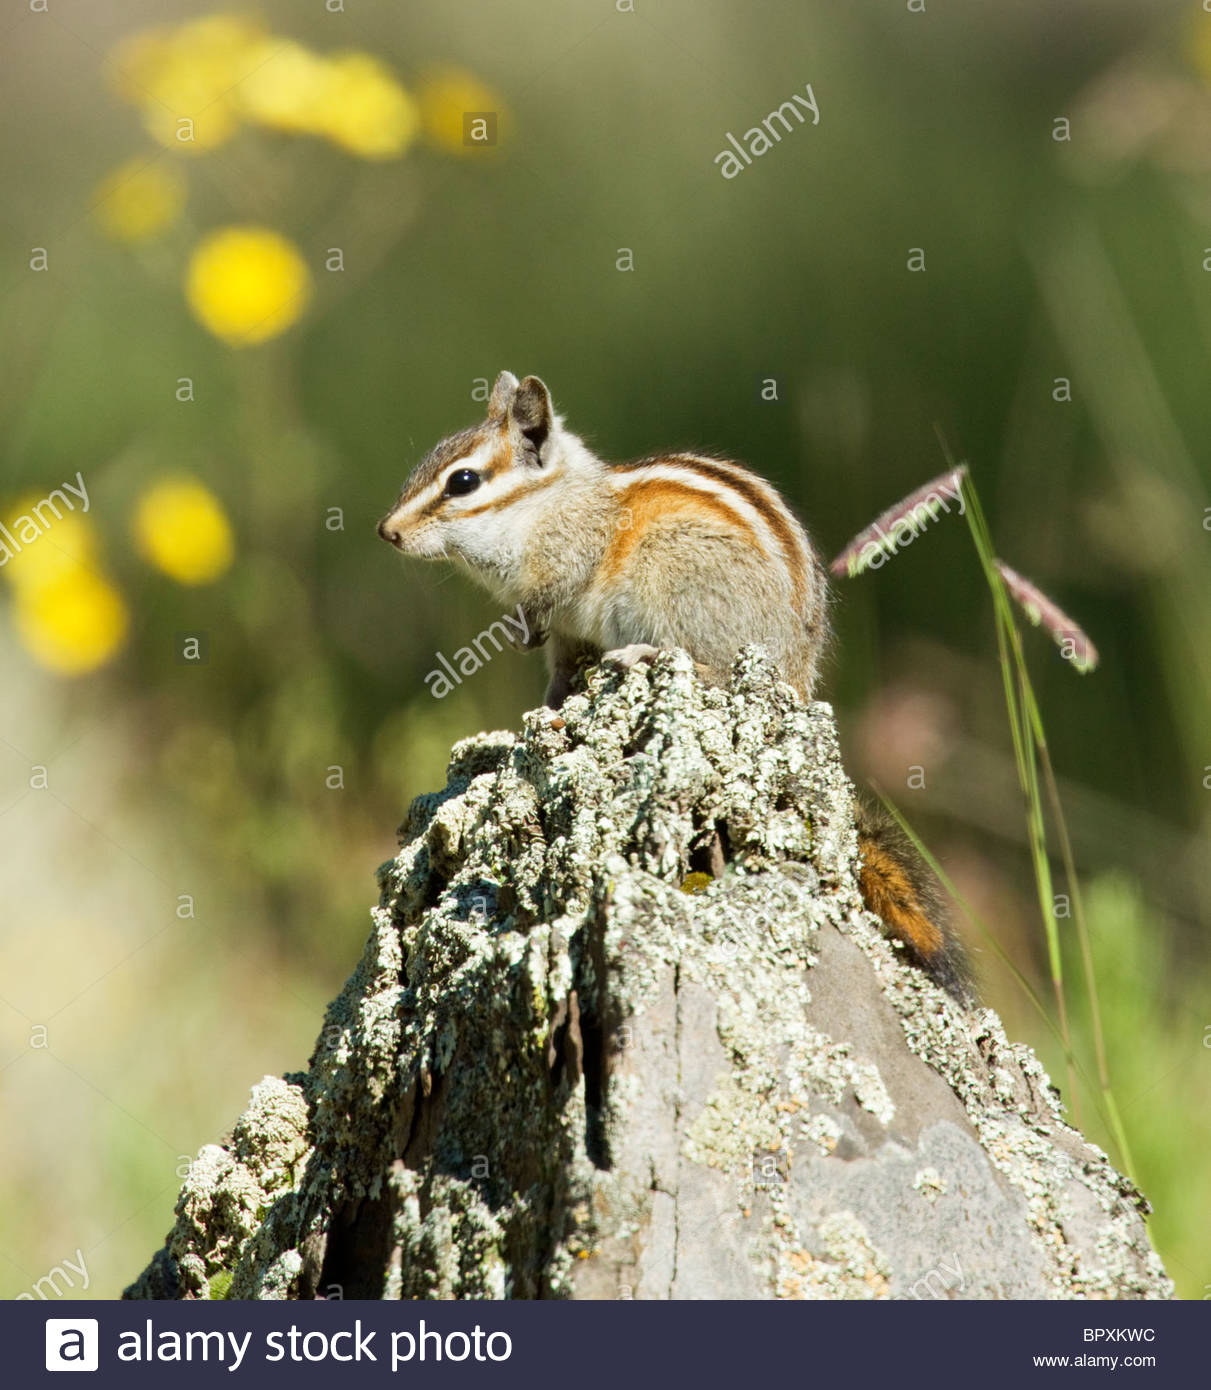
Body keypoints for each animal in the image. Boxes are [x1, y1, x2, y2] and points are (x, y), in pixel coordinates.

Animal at [378, 371, 973, 1002]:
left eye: (463, 481)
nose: (387, 532)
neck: (546, 503)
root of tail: (797, 678)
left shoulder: (569, 560)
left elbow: (550, 594)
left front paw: (522, 632)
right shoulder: (569, 636)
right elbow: (559, 670)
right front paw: (544, 711)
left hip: (681, 583)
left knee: (715, 667)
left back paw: (644, 653)